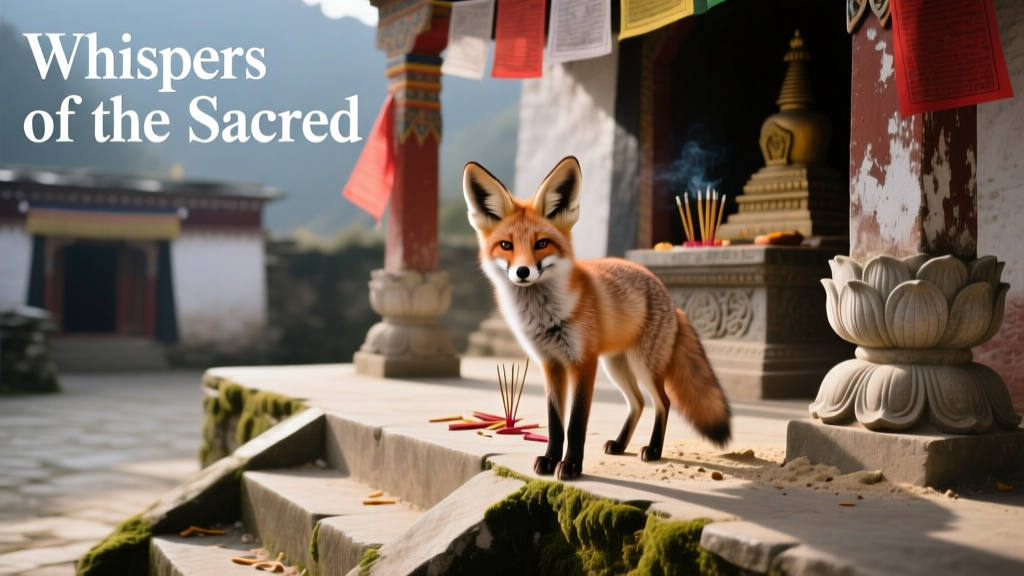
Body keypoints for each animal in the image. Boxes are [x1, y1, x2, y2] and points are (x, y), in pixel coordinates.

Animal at [463, 156, 731, 481]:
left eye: (542, 244)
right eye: (506, 245)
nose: (523, 272)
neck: (545, 316)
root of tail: (668, 296)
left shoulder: (583, 362)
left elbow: (576, 423)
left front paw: (571, 466)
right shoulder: (551, 364)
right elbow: (555, 423)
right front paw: (550, 460)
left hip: (642, 366)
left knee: (662, 402)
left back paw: (654, 450)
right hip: (616, 367)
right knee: (638, 403)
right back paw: (619, 444)